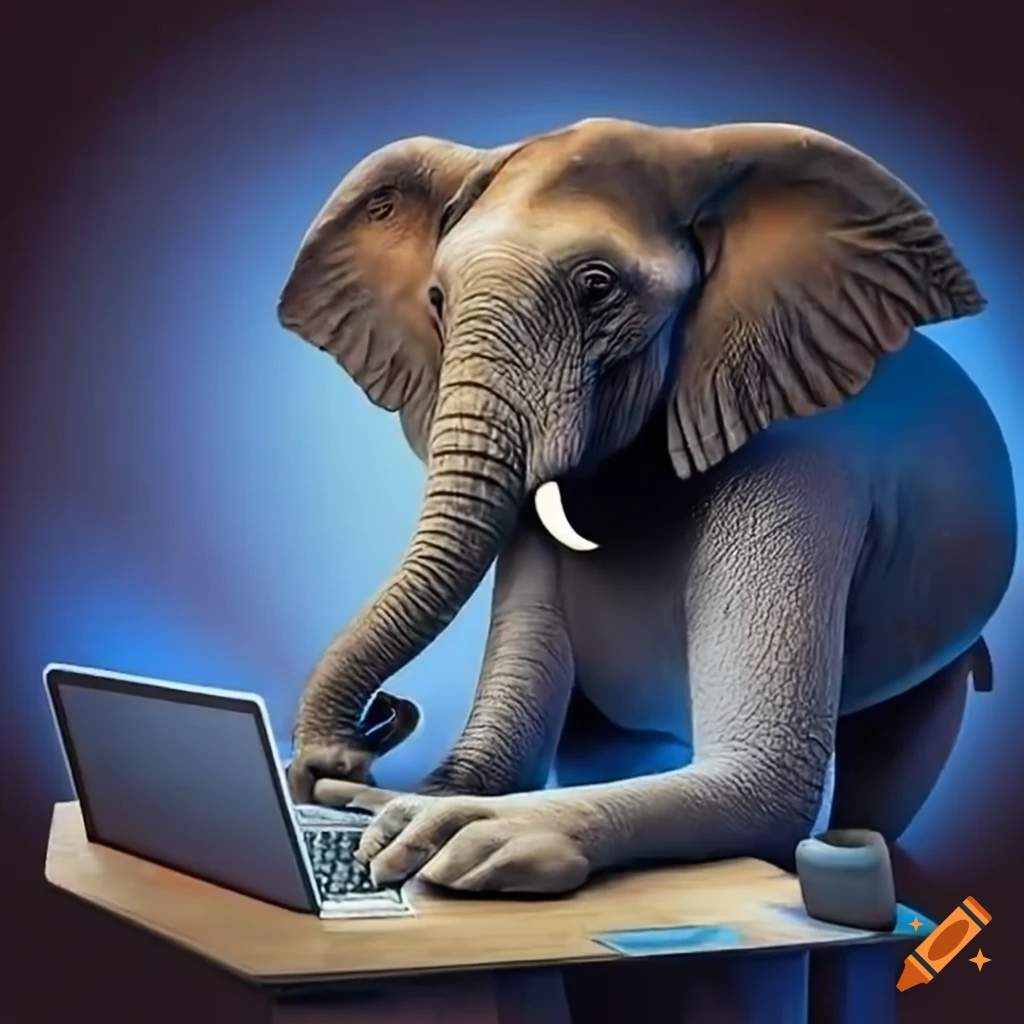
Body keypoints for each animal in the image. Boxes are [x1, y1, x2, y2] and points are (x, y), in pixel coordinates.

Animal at [276, 117, 1017, 894]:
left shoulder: (803, 462)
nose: (354, 744)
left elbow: (765, 773)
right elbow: (504, 748)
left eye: (597, 287)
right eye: (437, 300)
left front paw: (459, 833)